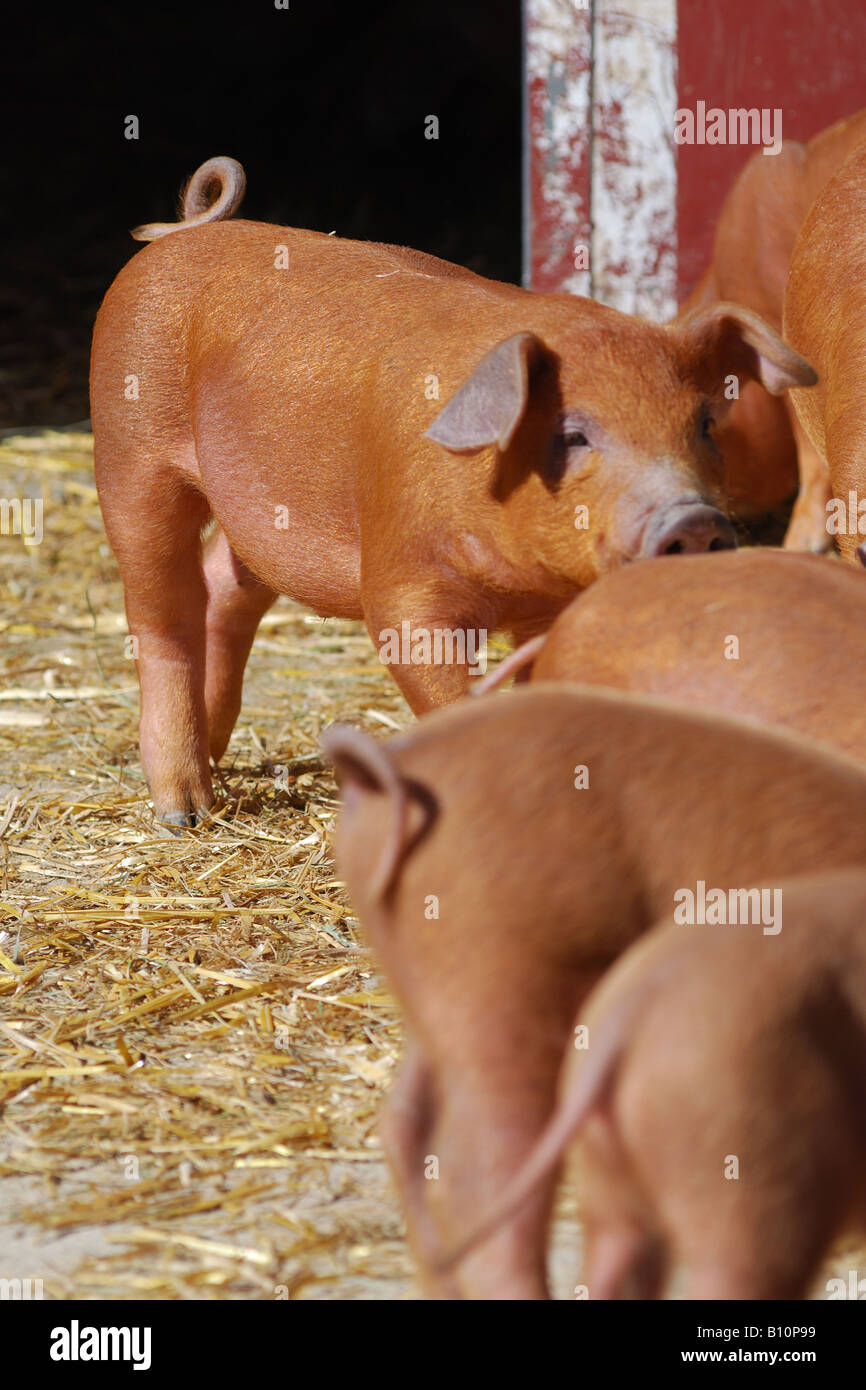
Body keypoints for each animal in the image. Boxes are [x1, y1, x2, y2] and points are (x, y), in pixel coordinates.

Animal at [89, 155, 815, 825]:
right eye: (574, 434)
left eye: (704, 424)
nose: (692, 519)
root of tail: (184, 232)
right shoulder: (402, 583)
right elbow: (433, 678)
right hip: (131, 455)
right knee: (162, 615)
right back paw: (184, 812)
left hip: (257, 508)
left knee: (225, 588)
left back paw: (215, 758)